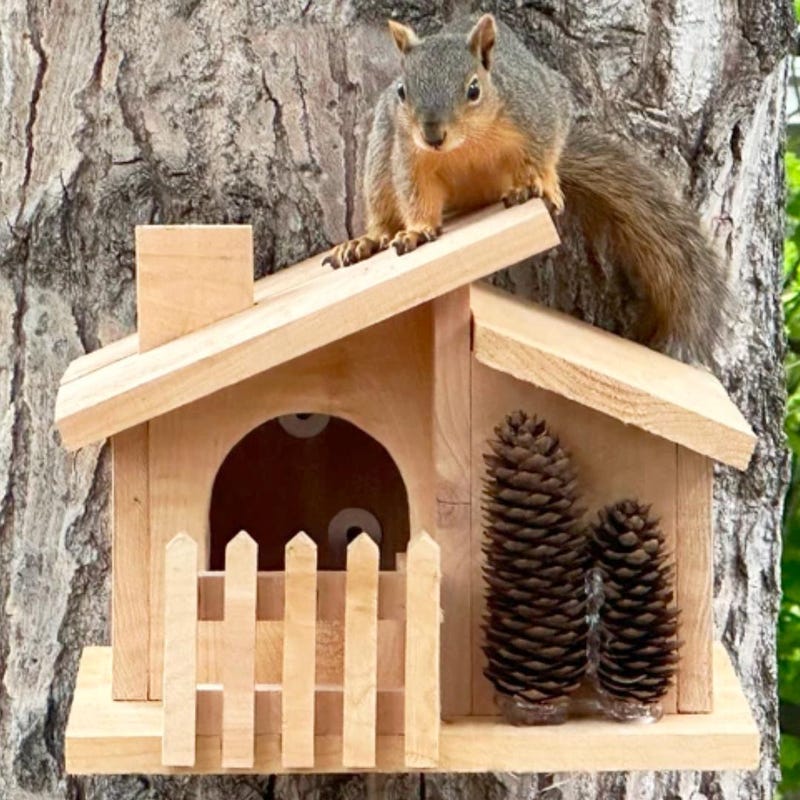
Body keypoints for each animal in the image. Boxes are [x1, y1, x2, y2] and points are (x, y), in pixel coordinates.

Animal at [323, 13, 729, 364]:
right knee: (382, 206)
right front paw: (418, 230)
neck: (466, 144)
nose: (433, 135)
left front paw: (544, 184)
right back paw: (366, 241)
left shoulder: (539, 105)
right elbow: (415, 194)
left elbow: (547, 147)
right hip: (380, 152)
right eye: (402, 91)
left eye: (473, 89)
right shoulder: (411, 156)